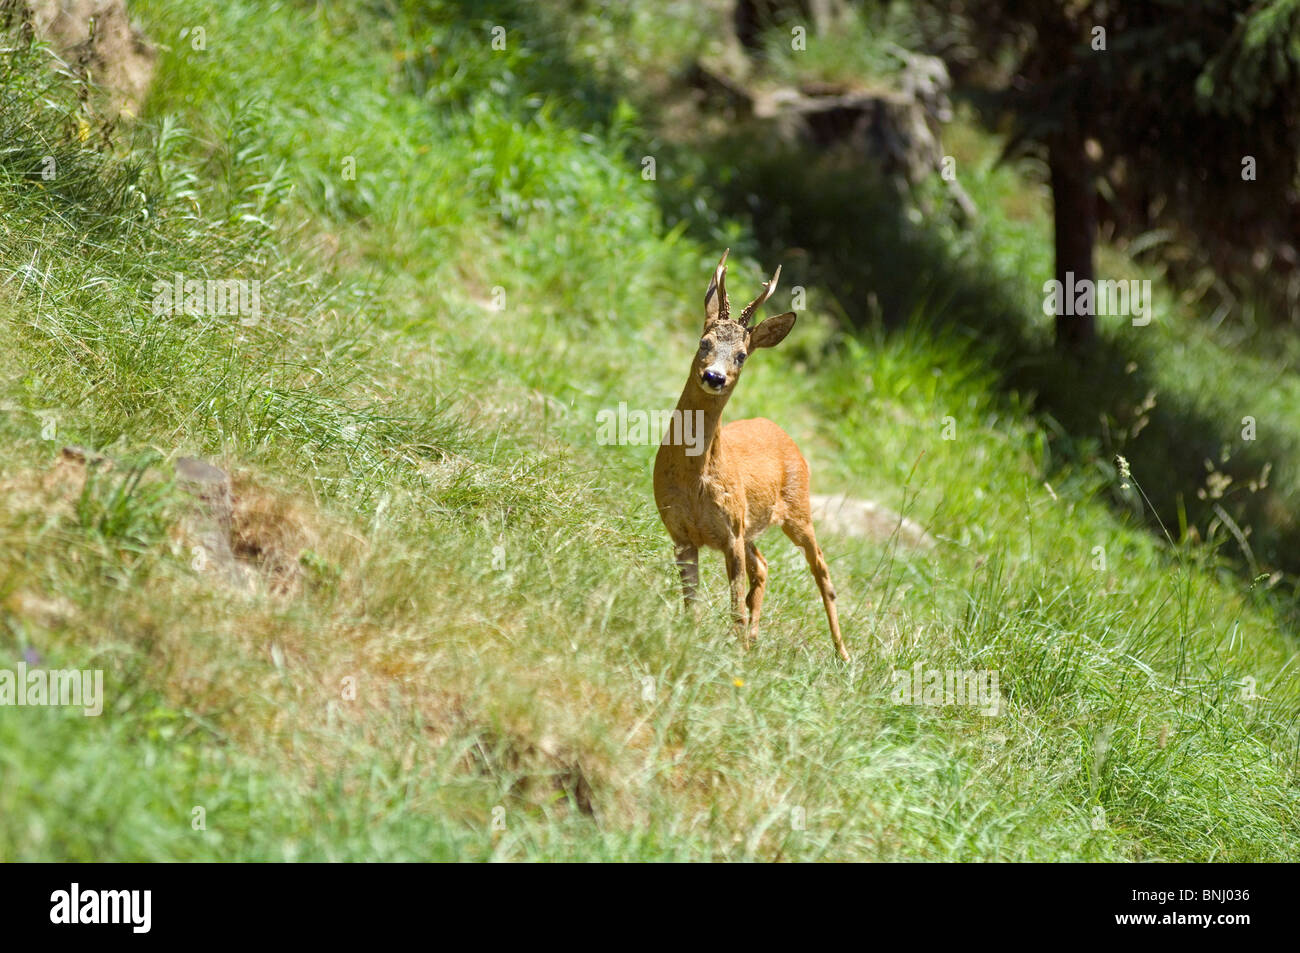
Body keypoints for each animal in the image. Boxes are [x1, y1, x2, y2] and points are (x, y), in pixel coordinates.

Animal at [653, 249, 850, 662]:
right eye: (704, 342)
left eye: (742, 356)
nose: (714, 377)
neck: (695, 480)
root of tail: (780, 430)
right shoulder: (681, 532)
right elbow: (691, 603)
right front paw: (693, 639)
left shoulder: (730, 532)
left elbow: (733, 607)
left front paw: (736, 651)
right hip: (751, 524)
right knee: (763, 565)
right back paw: (757, 638)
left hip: (798, 509)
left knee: (822, 569)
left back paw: (843, 653)